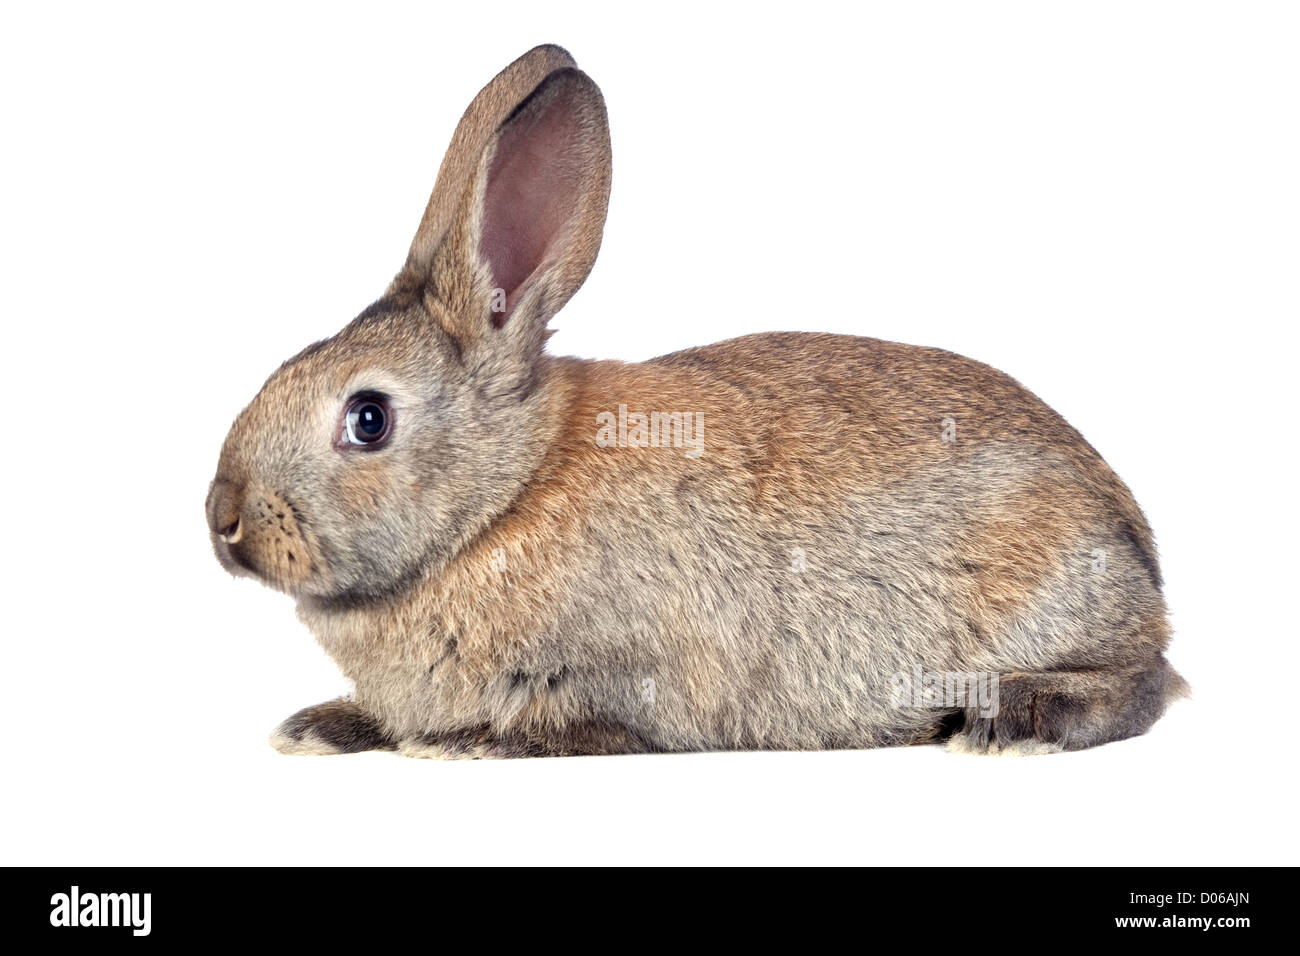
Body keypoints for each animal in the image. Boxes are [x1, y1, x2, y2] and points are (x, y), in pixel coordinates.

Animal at [206, 44, 1186, 759]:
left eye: (368, 418)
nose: (222, 518)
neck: (504, 497)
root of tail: (1139, 553)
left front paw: (465, 744)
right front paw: (321, 728)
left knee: (1142, 684)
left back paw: (1013, 722)